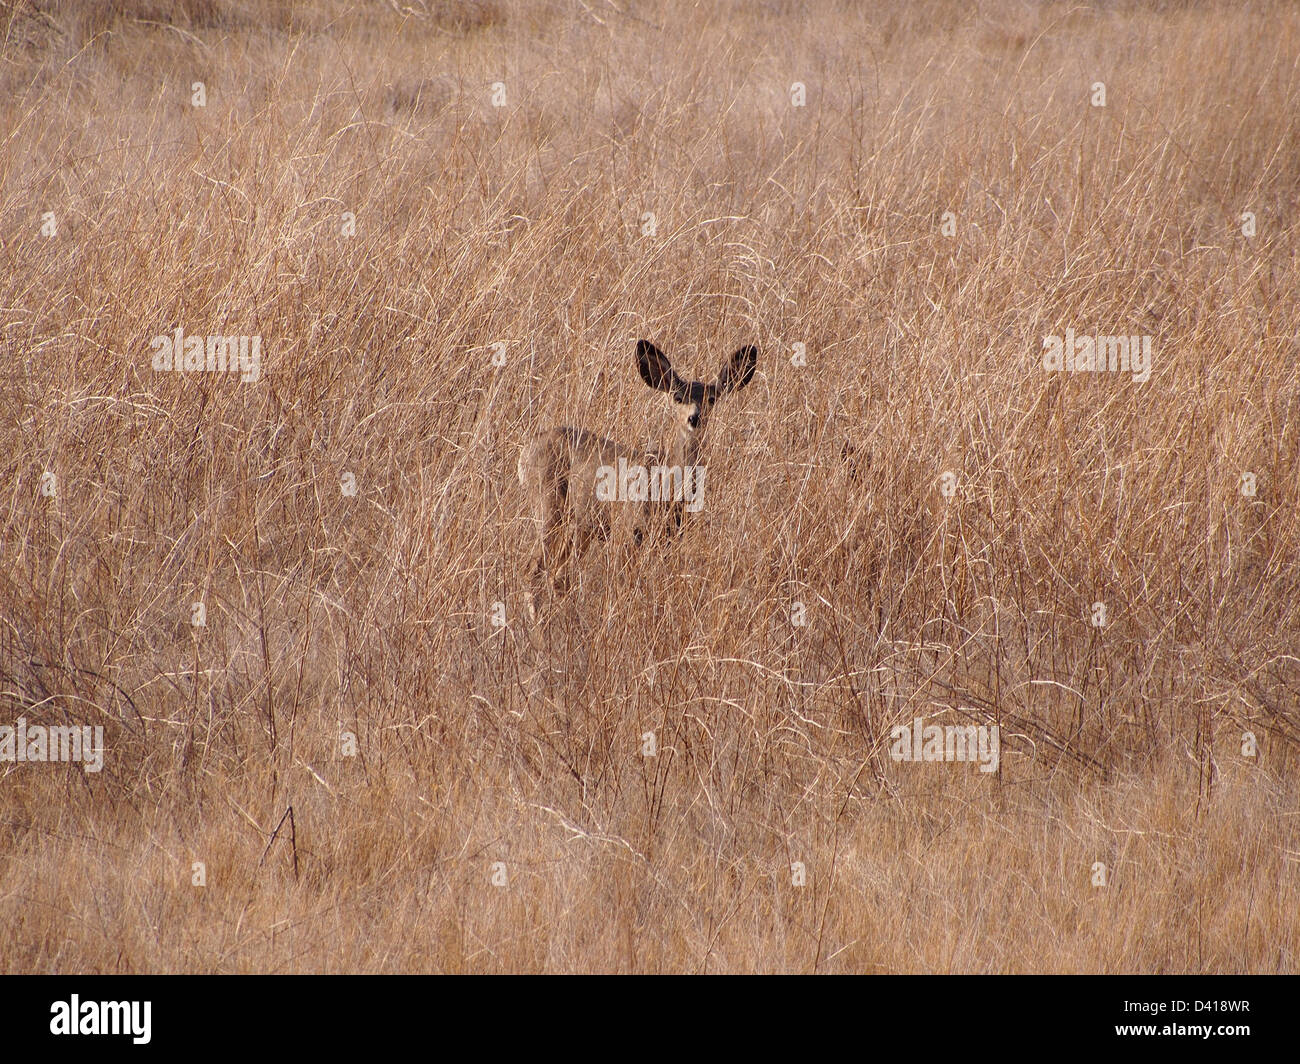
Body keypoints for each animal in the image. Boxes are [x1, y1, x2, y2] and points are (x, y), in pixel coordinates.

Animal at [518, 339, 758, 619]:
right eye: (677, 397)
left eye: (712, 398)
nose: (694, 418)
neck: (667, 485)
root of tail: (525, 450)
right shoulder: (628, 527)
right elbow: (624, 585)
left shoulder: (671, 538)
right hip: (548, 503)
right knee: (532, 569)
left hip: (581, 522)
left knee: (557, 576)